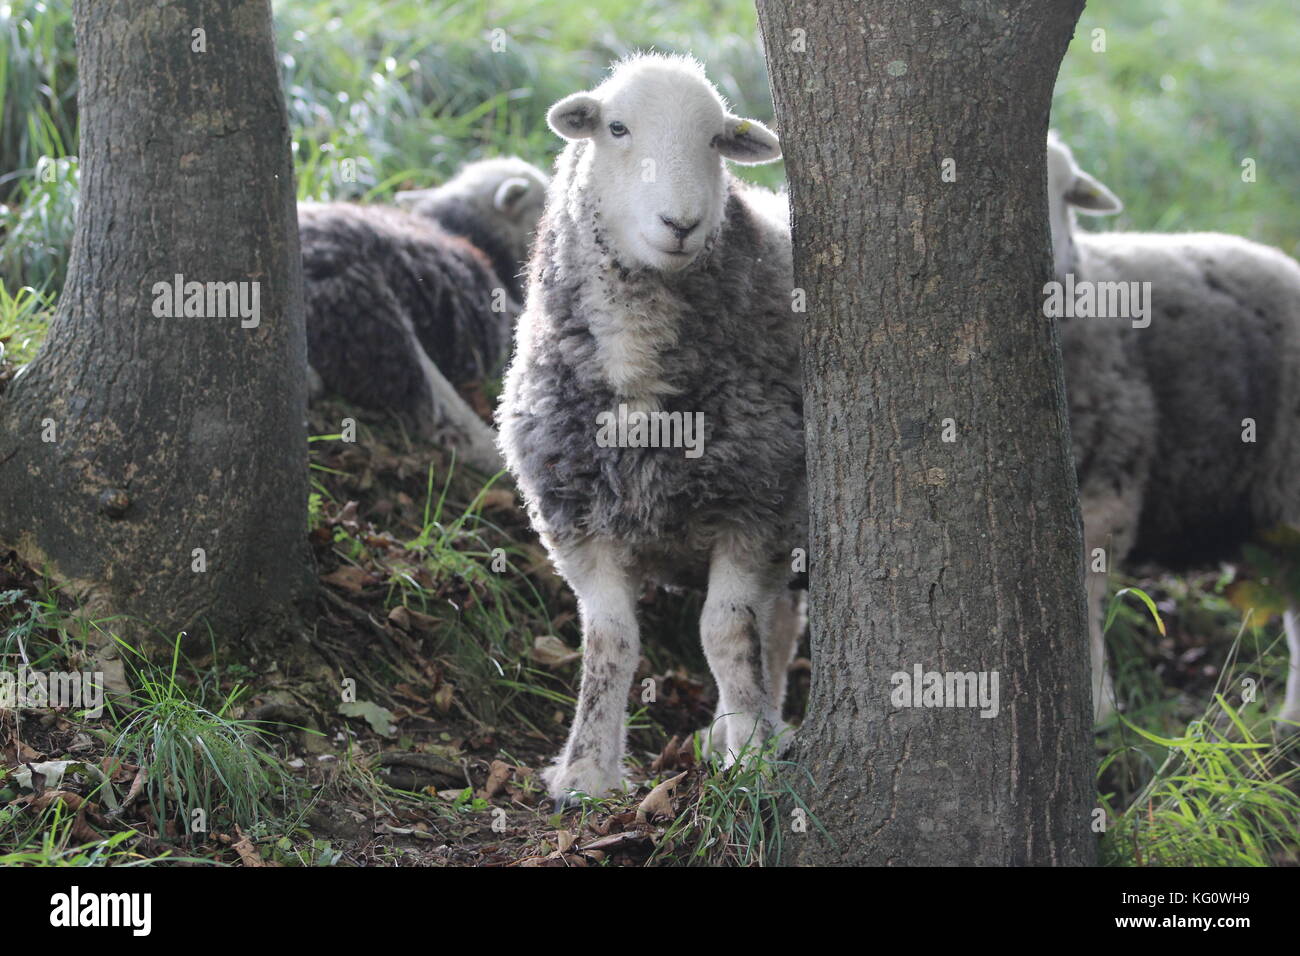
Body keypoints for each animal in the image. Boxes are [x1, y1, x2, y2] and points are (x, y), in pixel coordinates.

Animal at [497, 54, 803, 804]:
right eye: (616, 127)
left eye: (717, 139)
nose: (682, 223)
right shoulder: (576, 519)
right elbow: (609, 643)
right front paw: (584, 772)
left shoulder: (757, 503)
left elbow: (725, 631)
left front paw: (753, 755)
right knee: (778, 621)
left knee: (770, 627)